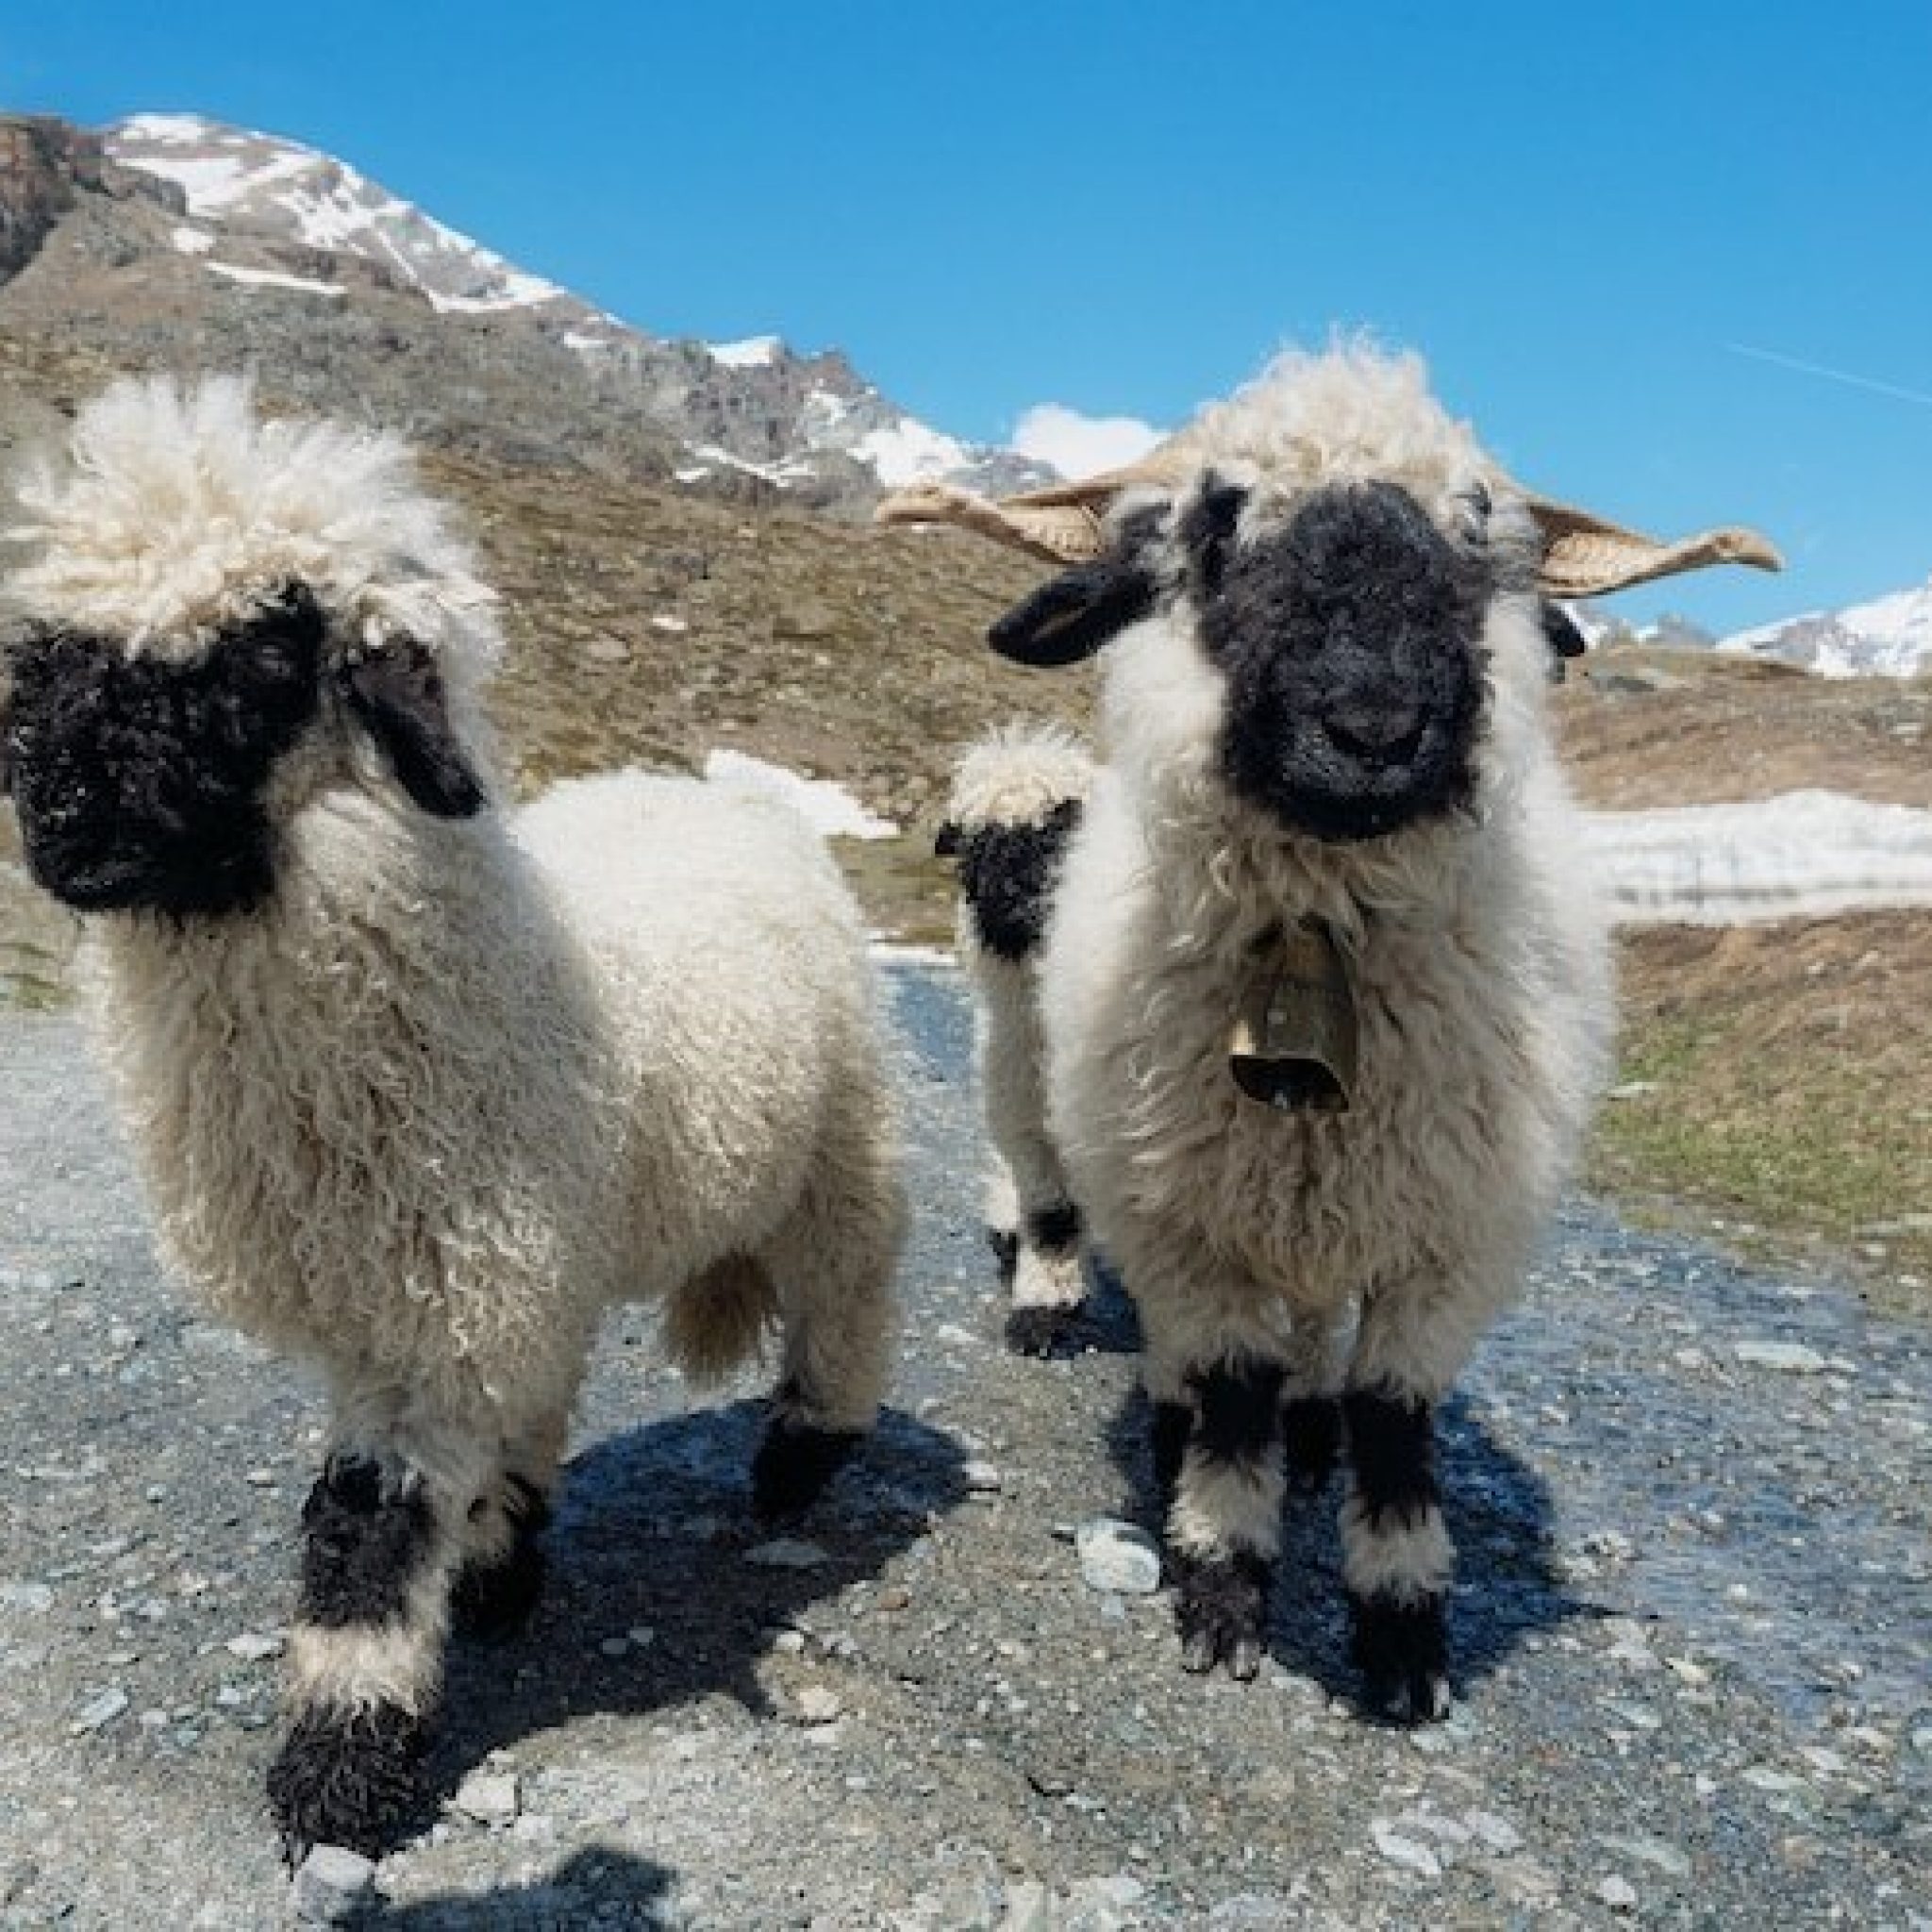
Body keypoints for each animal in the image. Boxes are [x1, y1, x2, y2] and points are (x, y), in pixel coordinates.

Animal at [0, 375, 905, 1855]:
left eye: (259, 660)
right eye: (52, 661)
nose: (66, 822)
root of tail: (716, 792)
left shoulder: (434, 1307)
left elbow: (362, 1531)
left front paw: (339, 1767)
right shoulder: (445, 1287)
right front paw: (479, 1578)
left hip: (840, 1151)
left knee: (846, 1299)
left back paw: (802, 1452)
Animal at [936, 723, 1096, 1354]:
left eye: (1067, 824)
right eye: (976, 845)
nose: (1022, 898)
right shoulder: (1032, 1125)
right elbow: (1052, 1217)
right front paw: (1041, 1311)